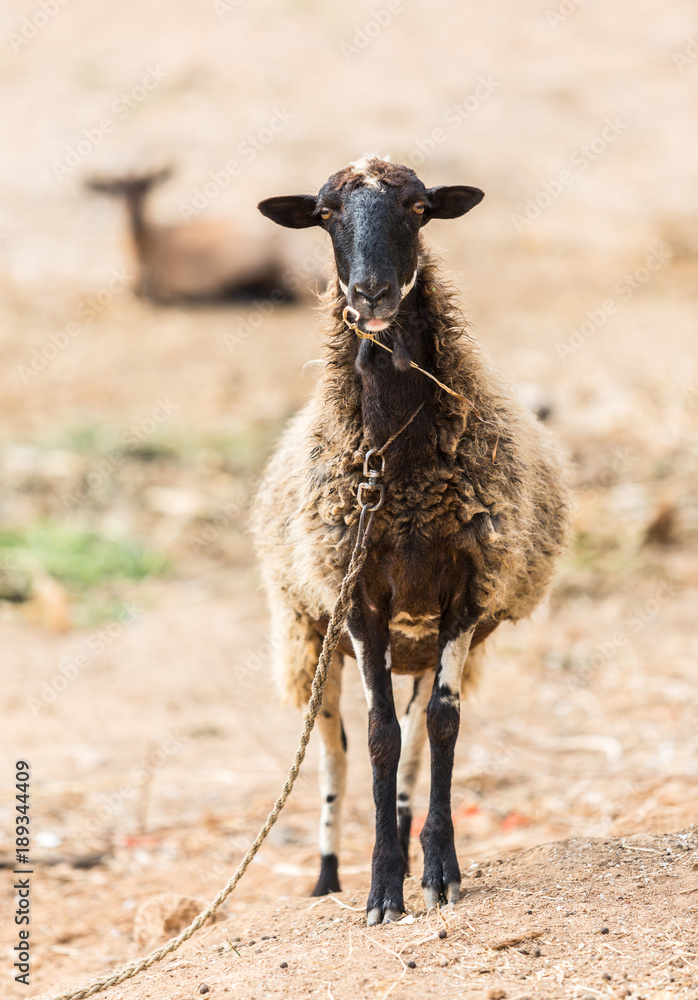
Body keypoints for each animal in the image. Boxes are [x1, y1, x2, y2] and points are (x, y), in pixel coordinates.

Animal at [252, 156, 572, 926]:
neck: (394, 465)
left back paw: (408, 842)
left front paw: (437, 872)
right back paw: (329, 875)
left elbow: (441, 728)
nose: (369, 294)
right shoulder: (358, 600)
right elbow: (376, 737)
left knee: (419, 740)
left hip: (425, 645)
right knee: (335, 756)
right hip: (309, 641)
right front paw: (379, 890)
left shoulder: (467, 592)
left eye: (420, 208)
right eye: (325, 214)